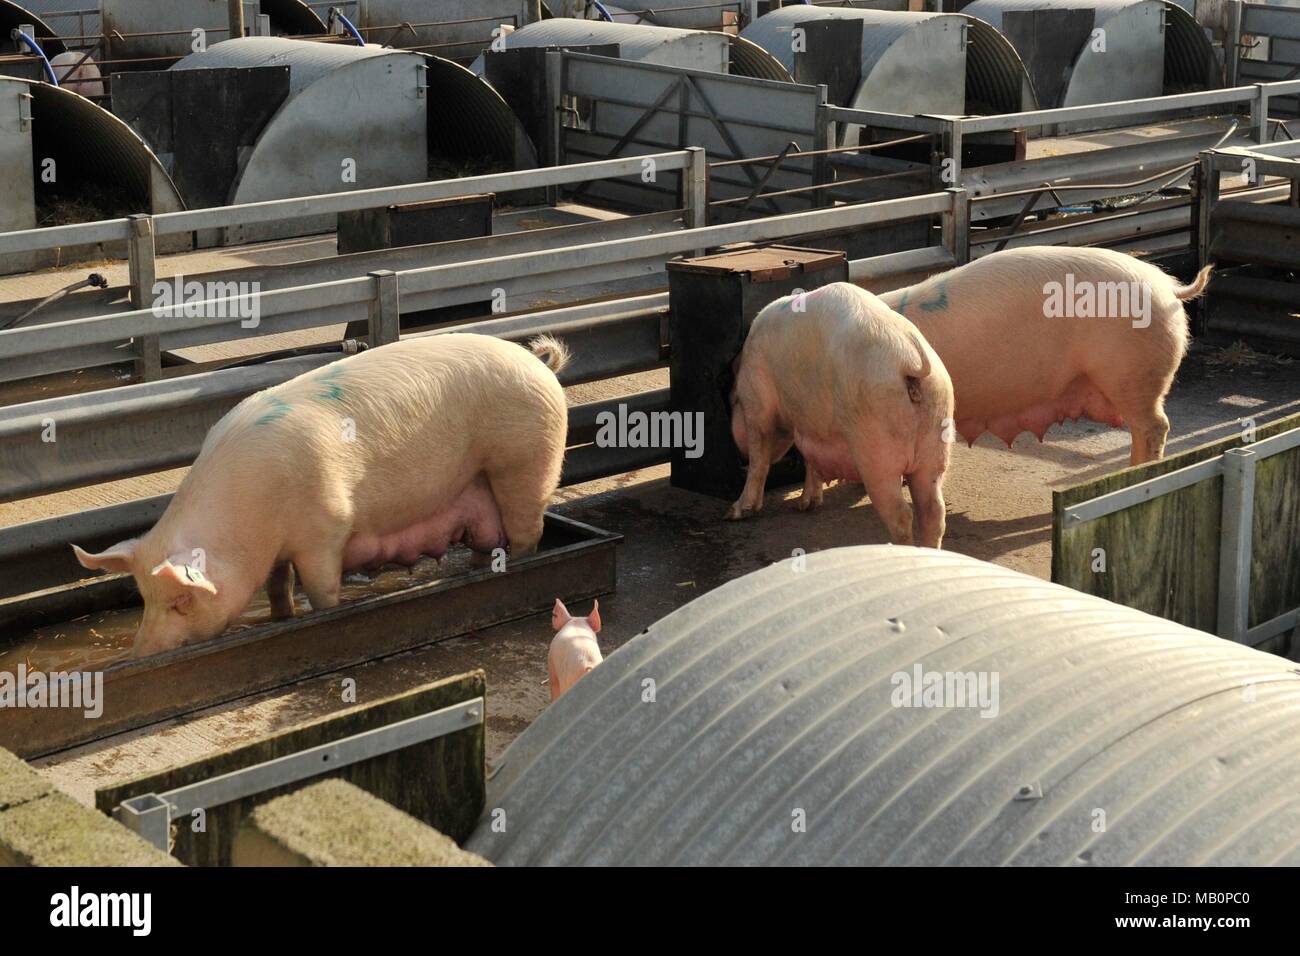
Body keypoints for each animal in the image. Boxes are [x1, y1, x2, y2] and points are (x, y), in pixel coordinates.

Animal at [72, 333, 571, 657]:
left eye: (181, 601)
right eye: (143, 598)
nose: (141, 656)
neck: (249, 524)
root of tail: (540, 364)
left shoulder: (327, 527)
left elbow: (321, 588)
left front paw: (325, 617)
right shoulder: (275, 551)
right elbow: (278, 586)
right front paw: (281, 617)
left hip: (526, 460)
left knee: (527, 531)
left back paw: (518, 567)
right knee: (488, 539)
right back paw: (475, 569)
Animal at [726, 282, 954, 548]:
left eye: (735, 403)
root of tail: (910, 360)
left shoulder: (757, 403)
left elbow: (759, 457)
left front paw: (735, 513)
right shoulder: (811, 422)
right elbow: (809, 457)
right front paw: (805, 505)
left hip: (876, 449)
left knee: (901, 514)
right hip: (937, 437)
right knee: (933, 511)